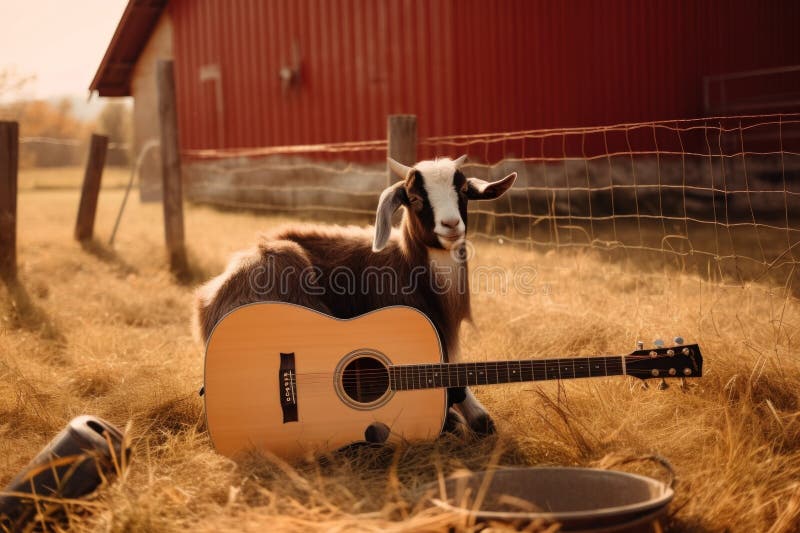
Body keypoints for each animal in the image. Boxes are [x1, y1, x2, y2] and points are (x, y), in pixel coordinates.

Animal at [195, 156, 517, 436]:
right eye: (414, 198)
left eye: (462, 191)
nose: (450, 225)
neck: (407, 264)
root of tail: (208, 300)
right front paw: (455, 417)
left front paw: (473, 414)